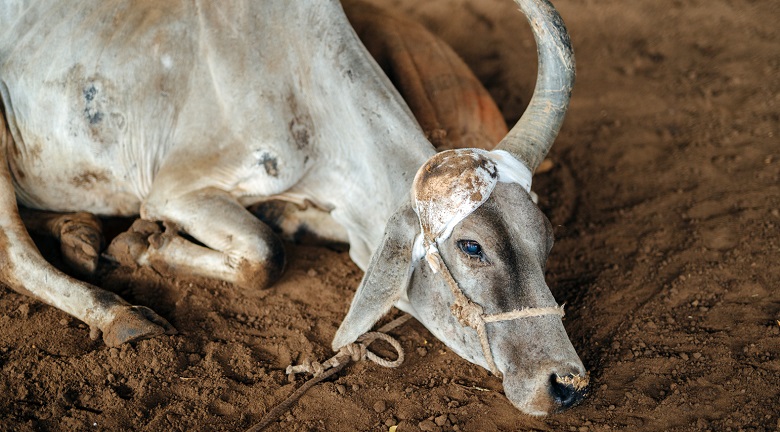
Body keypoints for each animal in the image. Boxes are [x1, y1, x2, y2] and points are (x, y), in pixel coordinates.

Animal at [0, 0, 588, 415]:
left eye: (546, 240)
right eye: (471, 246)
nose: (567, 384)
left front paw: (135, 239)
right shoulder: (175, 189)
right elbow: (266, 254)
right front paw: (144, 243)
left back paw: (80, 233)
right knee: (14, 255)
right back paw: (117, 310)